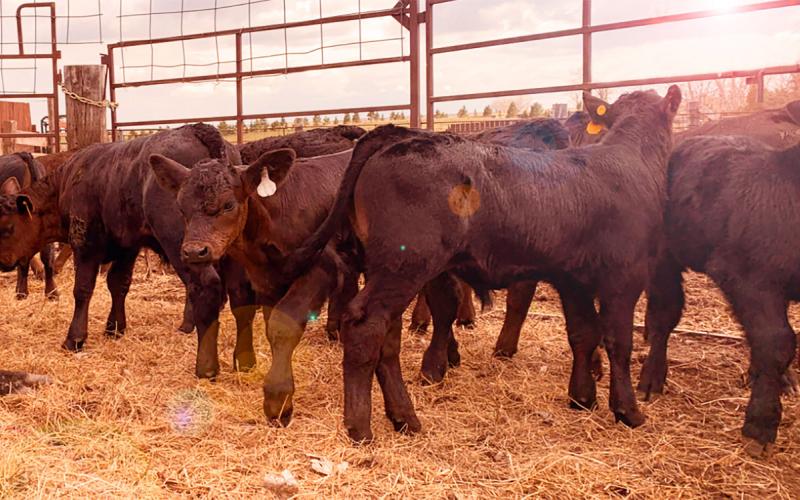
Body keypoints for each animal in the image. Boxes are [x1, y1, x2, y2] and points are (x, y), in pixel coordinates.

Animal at [283, 86, 682, 443]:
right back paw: (361, 427)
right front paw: (628, 410)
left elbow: (583, 334)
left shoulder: (573, 279)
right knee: (366, 326)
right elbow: (618, 340)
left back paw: (404, 418)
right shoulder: (625, 275)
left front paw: (582, 397)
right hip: (405, 264)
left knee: (387, 336)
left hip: (391, 268)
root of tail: (395, 135)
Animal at [638, 134, 800, 458]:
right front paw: (760, 425)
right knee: (665, 314)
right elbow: (777, 342)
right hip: (664, 255)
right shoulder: (748, 277)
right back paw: (652, 377)